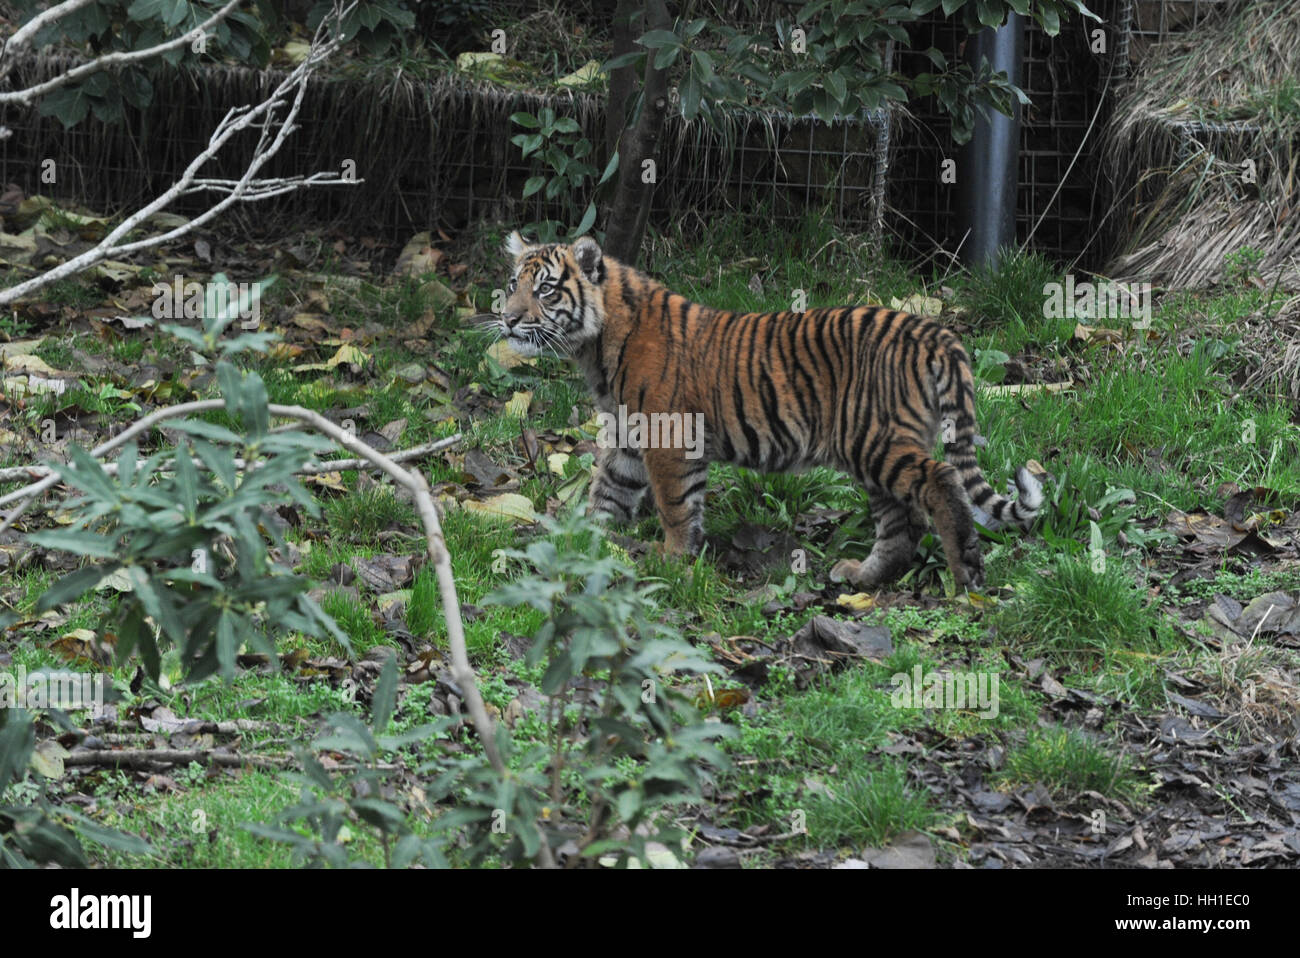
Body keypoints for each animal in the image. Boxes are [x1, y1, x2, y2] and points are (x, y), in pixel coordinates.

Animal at [495, 231, 1043, 590]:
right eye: (513, 283)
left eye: (545, 289)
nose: (507, 318)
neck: (594, 345)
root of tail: (933, 331)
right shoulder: (629, 434)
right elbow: (609, 490)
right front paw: (582, 544)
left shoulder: (668, 436)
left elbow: (674, 505)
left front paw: (670, 560)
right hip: (875, 451)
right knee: (902, 523)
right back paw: (861, 578)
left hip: (874, 439)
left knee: (940, 483)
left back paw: (966, 571)